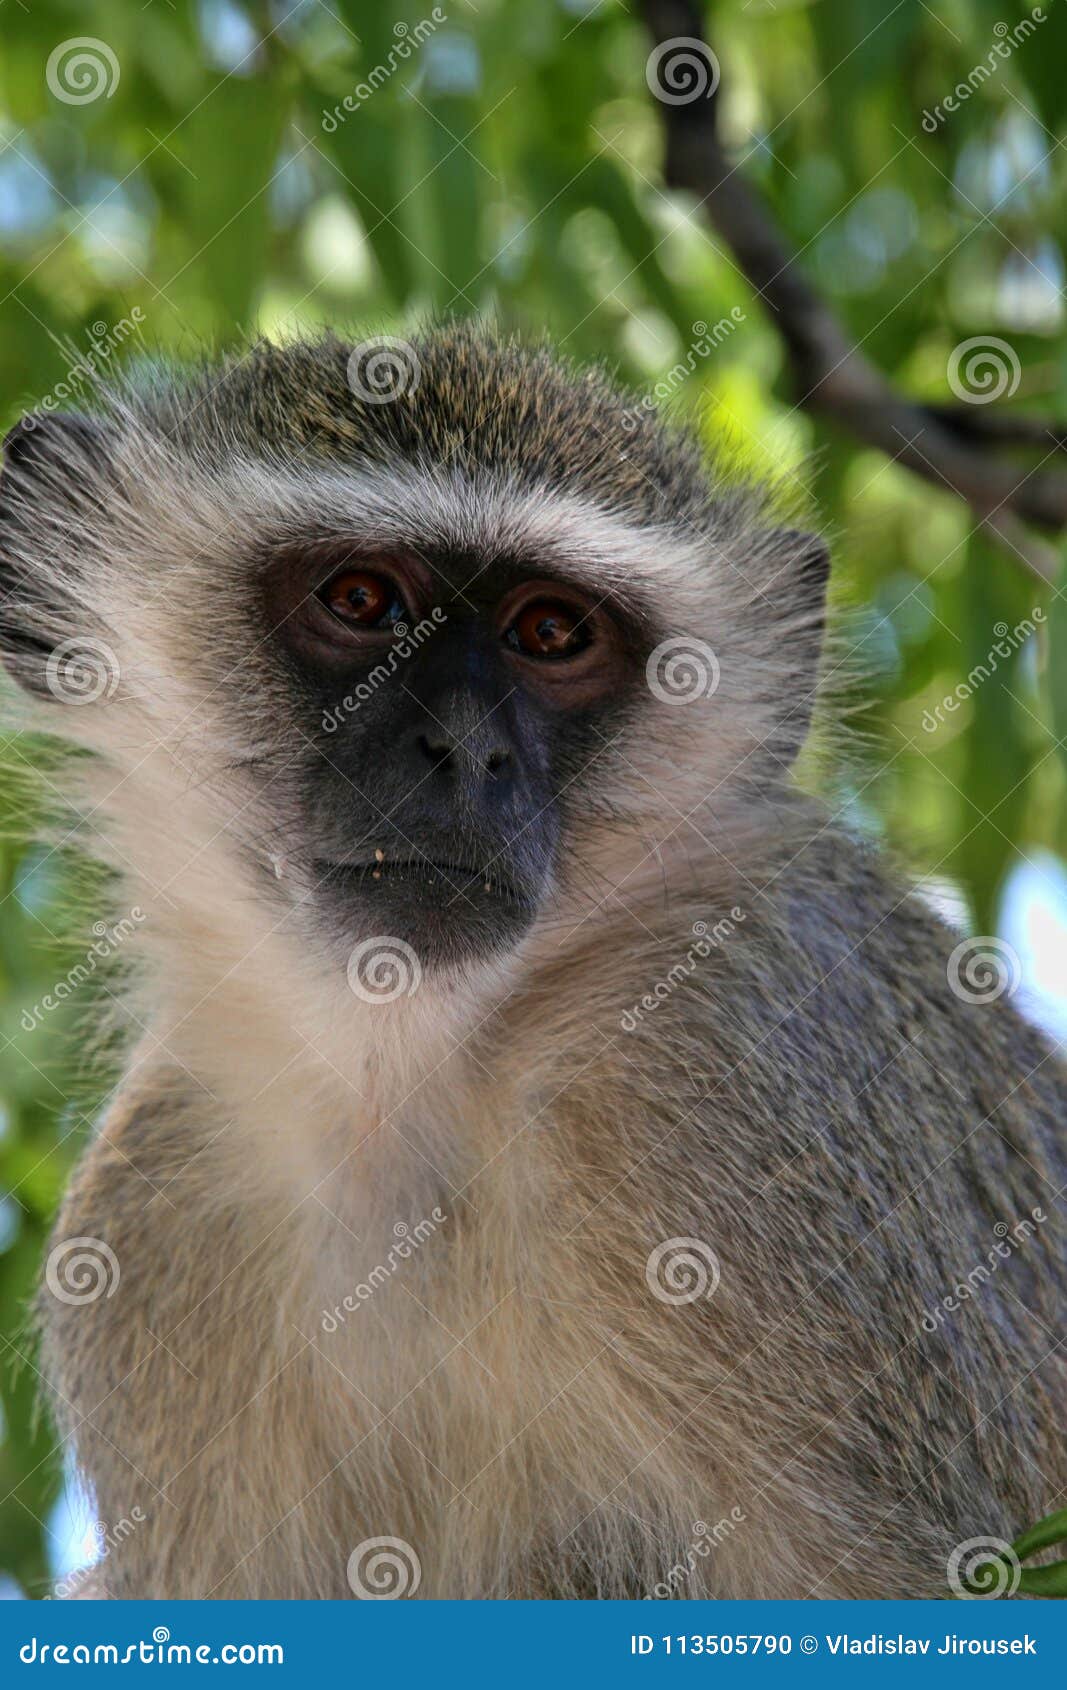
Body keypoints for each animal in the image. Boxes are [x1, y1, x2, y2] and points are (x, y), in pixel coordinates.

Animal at [0, 323, 1063, 1601]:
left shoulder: (746, 1081)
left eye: (552, 633)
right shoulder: (145, 1209)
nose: (465, 751)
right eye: (360, 600)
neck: (408, 1093)